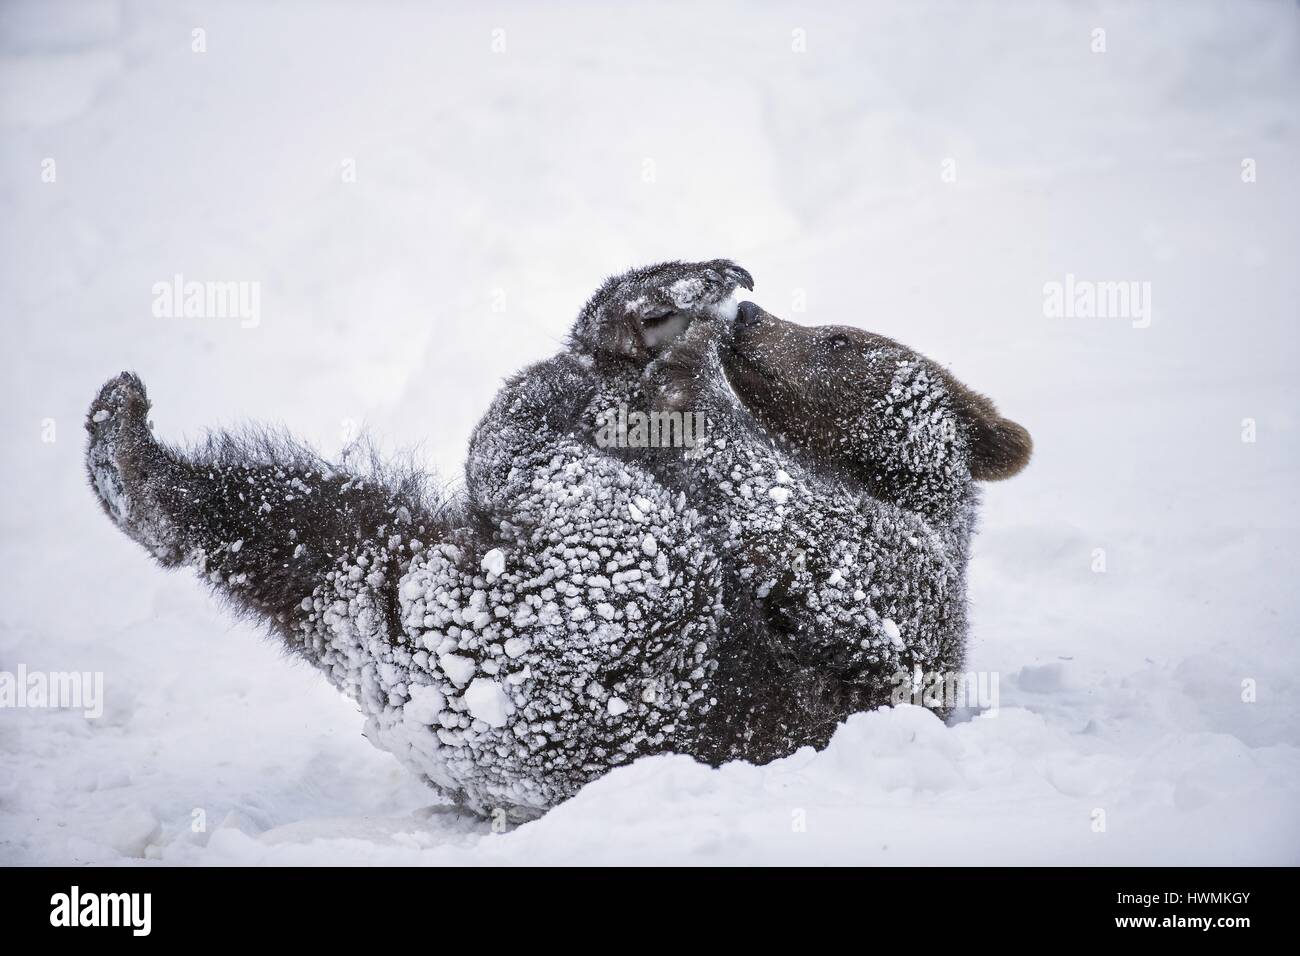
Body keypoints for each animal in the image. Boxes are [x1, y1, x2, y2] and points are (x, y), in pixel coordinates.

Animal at [84, 260, 1031, 819]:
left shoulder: (896, 575)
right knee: (298, 520)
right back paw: (126, 450)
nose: (753, 320)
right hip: (396, 578)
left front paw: (685, 376)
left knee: (518, 444)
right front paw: (675, 359)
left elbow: (809, 533)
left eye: (836, 339)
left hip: (614, 629)